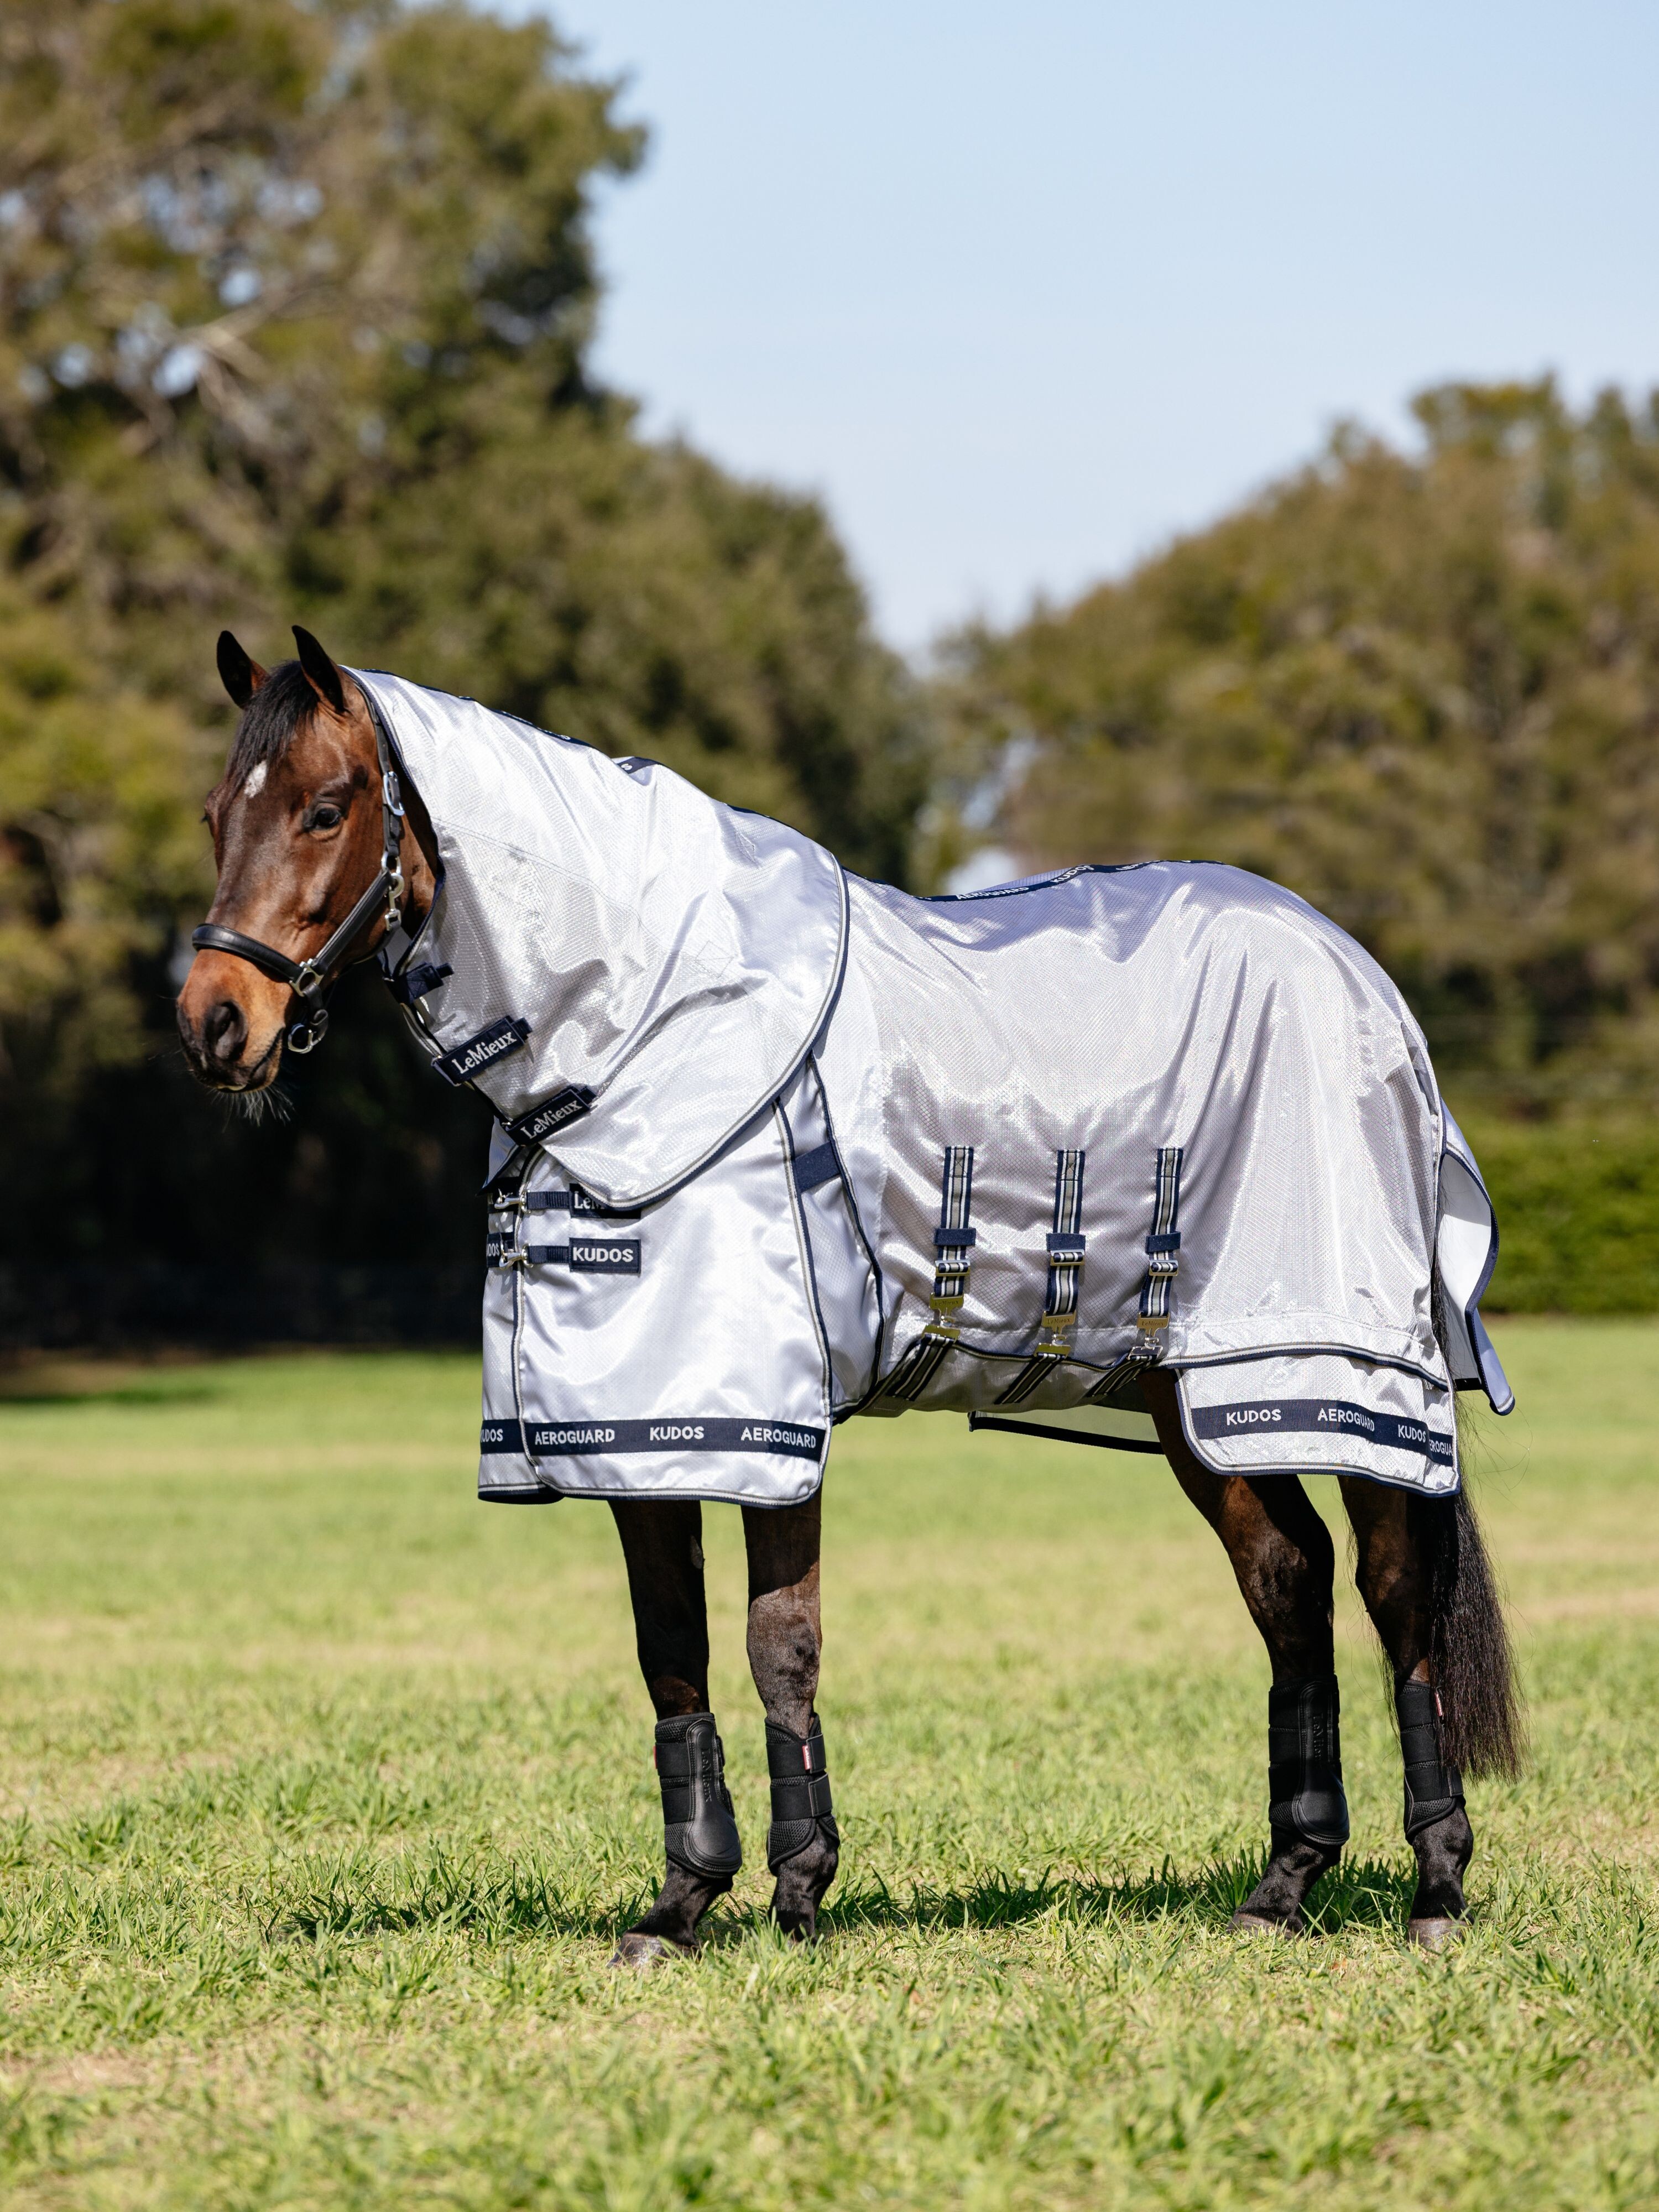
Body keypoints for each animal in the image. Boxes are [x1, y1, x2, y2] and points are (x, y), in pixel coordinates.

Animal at [177, 626, 1523, 1963]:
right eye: (213, 814)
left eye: (327, 807)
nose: (214, 1025)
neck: (646, 1024)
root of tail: (1363, 978)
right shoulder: (634, 1429)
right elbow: (672, 1650)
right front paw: (684, 1903)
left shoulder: (760, 1418)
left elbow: (780, 1642)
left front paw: (795, 1891)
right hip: (1193, 1395)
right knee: (1289, 1583)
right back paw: (1284, 1882)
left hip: (1333, 1372)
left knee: (1394, 1595)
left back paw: (1437, 1887)